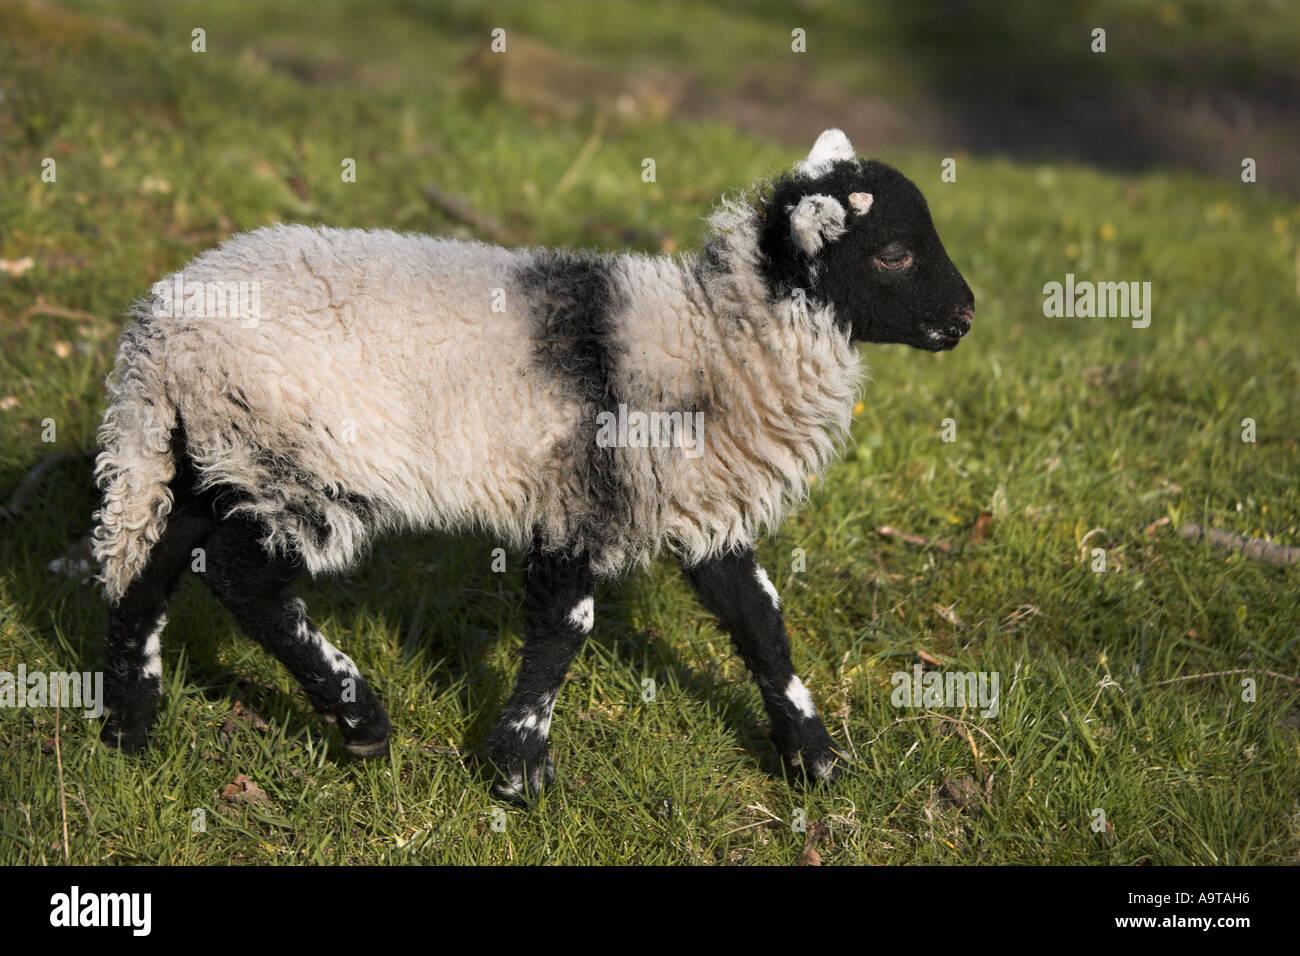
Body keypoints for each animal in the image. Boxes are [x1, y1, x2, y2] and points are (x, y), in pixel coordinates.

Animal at [93, 128, 974, 802]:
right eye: (895, 254)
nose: (966, 317)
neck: (712, 337)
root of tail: (159, 331)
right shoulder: (581, 495)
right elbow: (566, 627)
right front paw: (520, 772)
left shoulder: (696, 500)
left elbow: (761, 622)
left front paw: (815, 761)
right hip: (298, 458)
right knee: (243, 580)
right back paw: (360, 719)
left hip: (216, 450)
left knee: (156, 557)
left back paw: (132, 723)